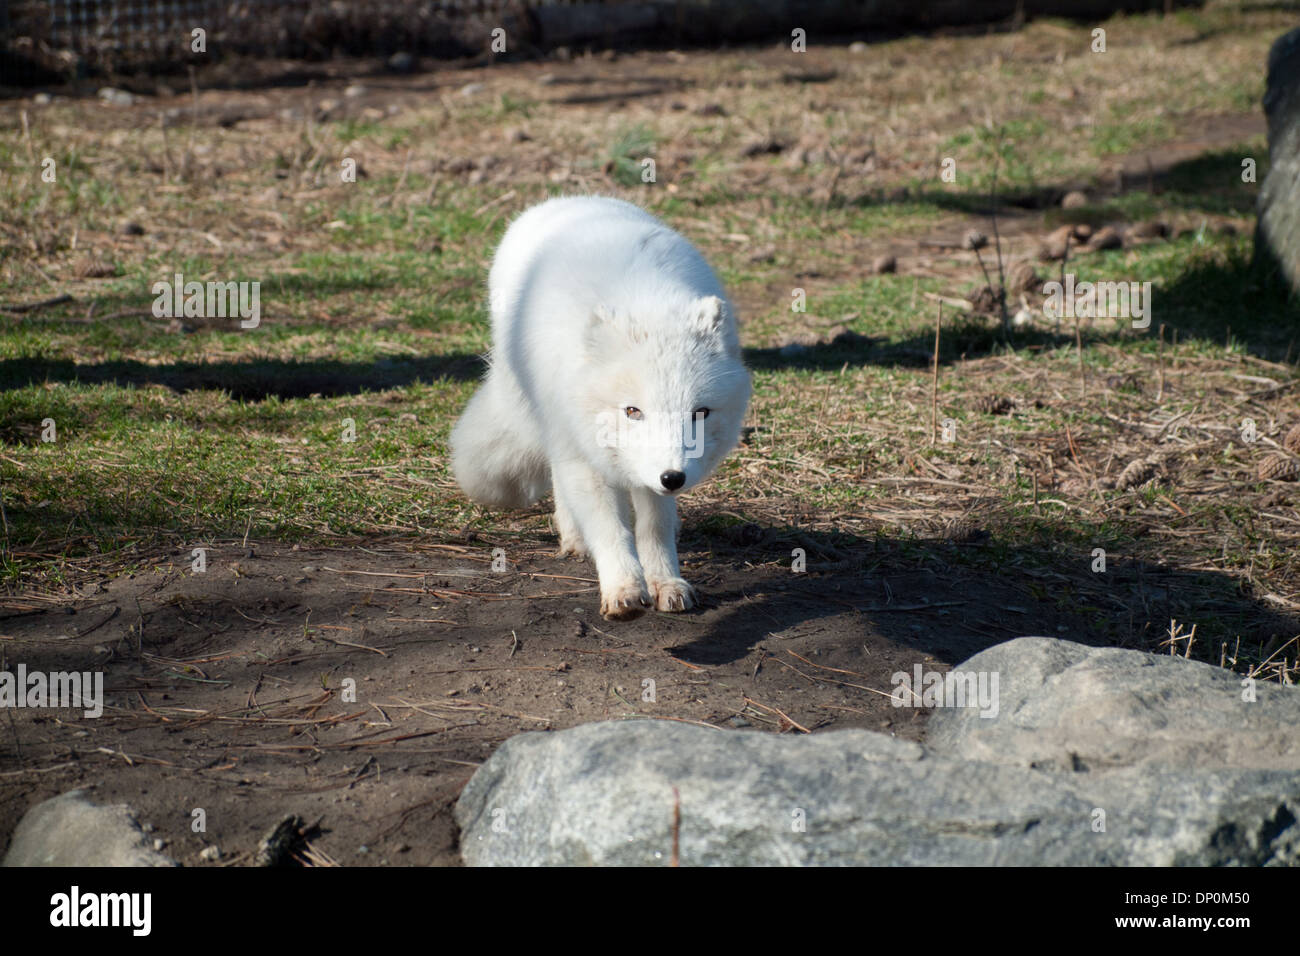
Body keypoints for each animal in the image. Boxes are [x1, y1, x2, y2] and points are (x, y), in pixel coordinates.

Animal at [450, 196, 751, 621]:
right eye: (633, 411)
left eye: (700, 413)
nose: (673, 478)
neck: (645, 300)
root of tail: (569, 199)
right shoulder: (582, 451)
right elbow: (611, 529)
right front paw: (624, 588)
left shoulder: (651, 471)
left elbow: (654, 529)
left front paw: (665, 582)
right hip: (556, 425)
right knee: (560, 480)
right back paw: (575, 539)